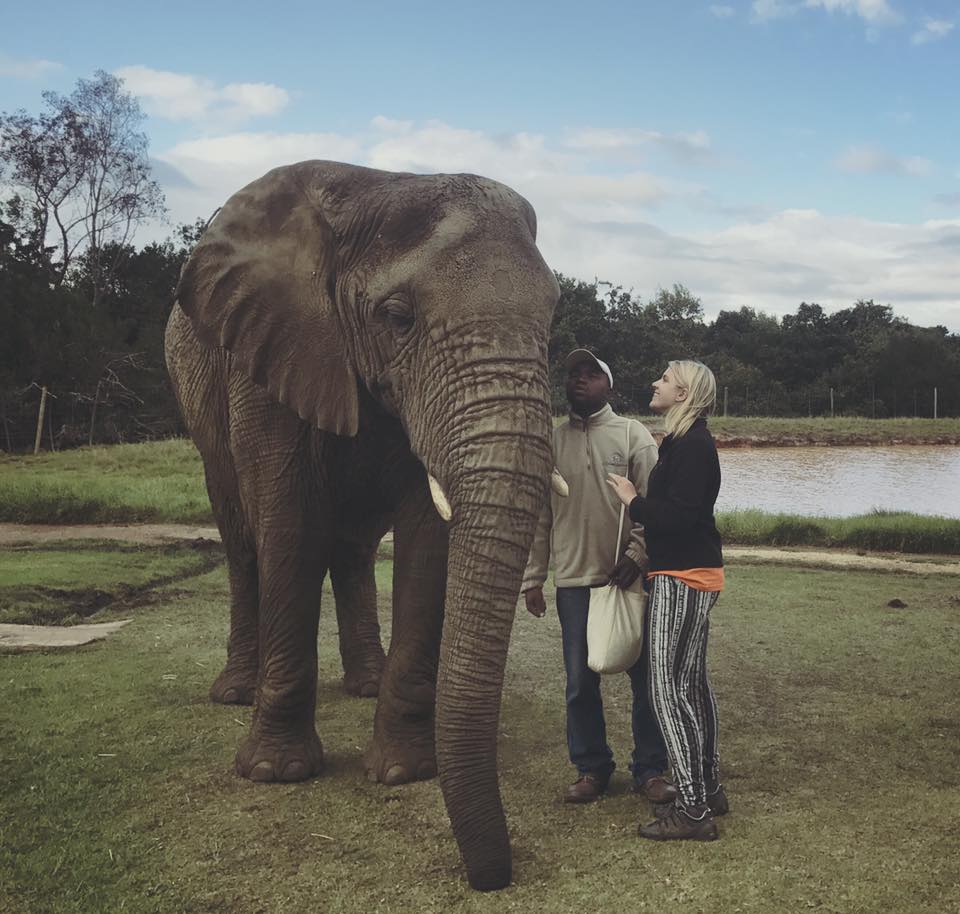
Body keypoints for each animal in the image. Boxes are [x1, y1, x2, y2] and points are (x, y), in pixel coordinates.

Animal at [164, 160, 560, 891]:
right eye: (398, 318)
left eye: (553, 315)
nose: (493, 877)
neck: (379, 186)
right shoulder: (268, 351)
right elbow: (289, 525)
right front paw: (277, 773)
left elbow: (426, 543)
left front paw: (405, 771)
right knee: (244, 541)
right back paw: (236, 692)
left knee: (349, 549)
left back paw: (365, 685)